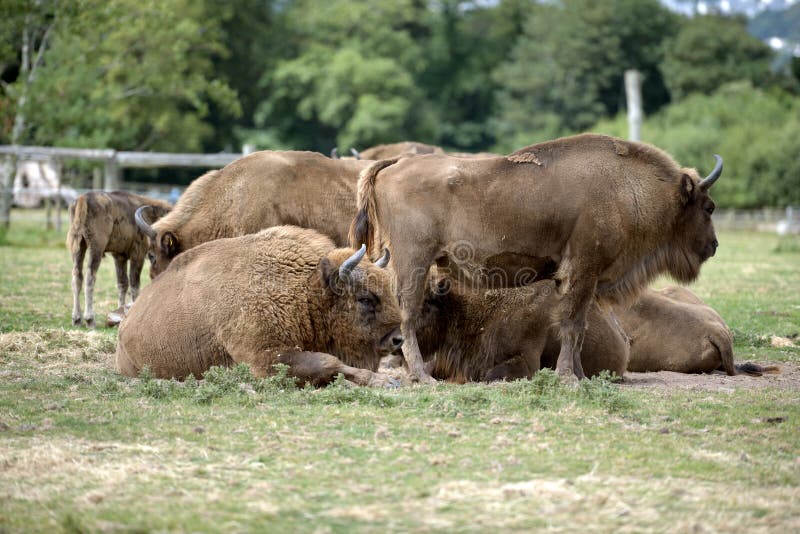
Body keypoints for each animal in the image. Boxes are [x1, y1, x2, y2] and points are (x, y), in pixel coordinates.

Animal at [116, 226, 403, 386]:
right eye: (365, 299)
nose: (397, 339)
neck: (305, 289)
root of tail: (124, 327)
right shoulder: (265, 356)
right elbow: (328, 363)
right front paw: (386, 381)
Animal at [351, 133, 722, 383]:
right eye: (708, 207)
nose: (714, 245)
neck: (624, 187)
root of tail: (396, 163)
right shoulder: (582, 270)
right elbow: (572, 324)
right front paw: (569, 379)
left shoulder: (581, 280)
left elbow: (578, 327)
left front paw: (580, 376)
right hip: (413, 259)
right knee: (408, 314)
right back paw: (422, 377)